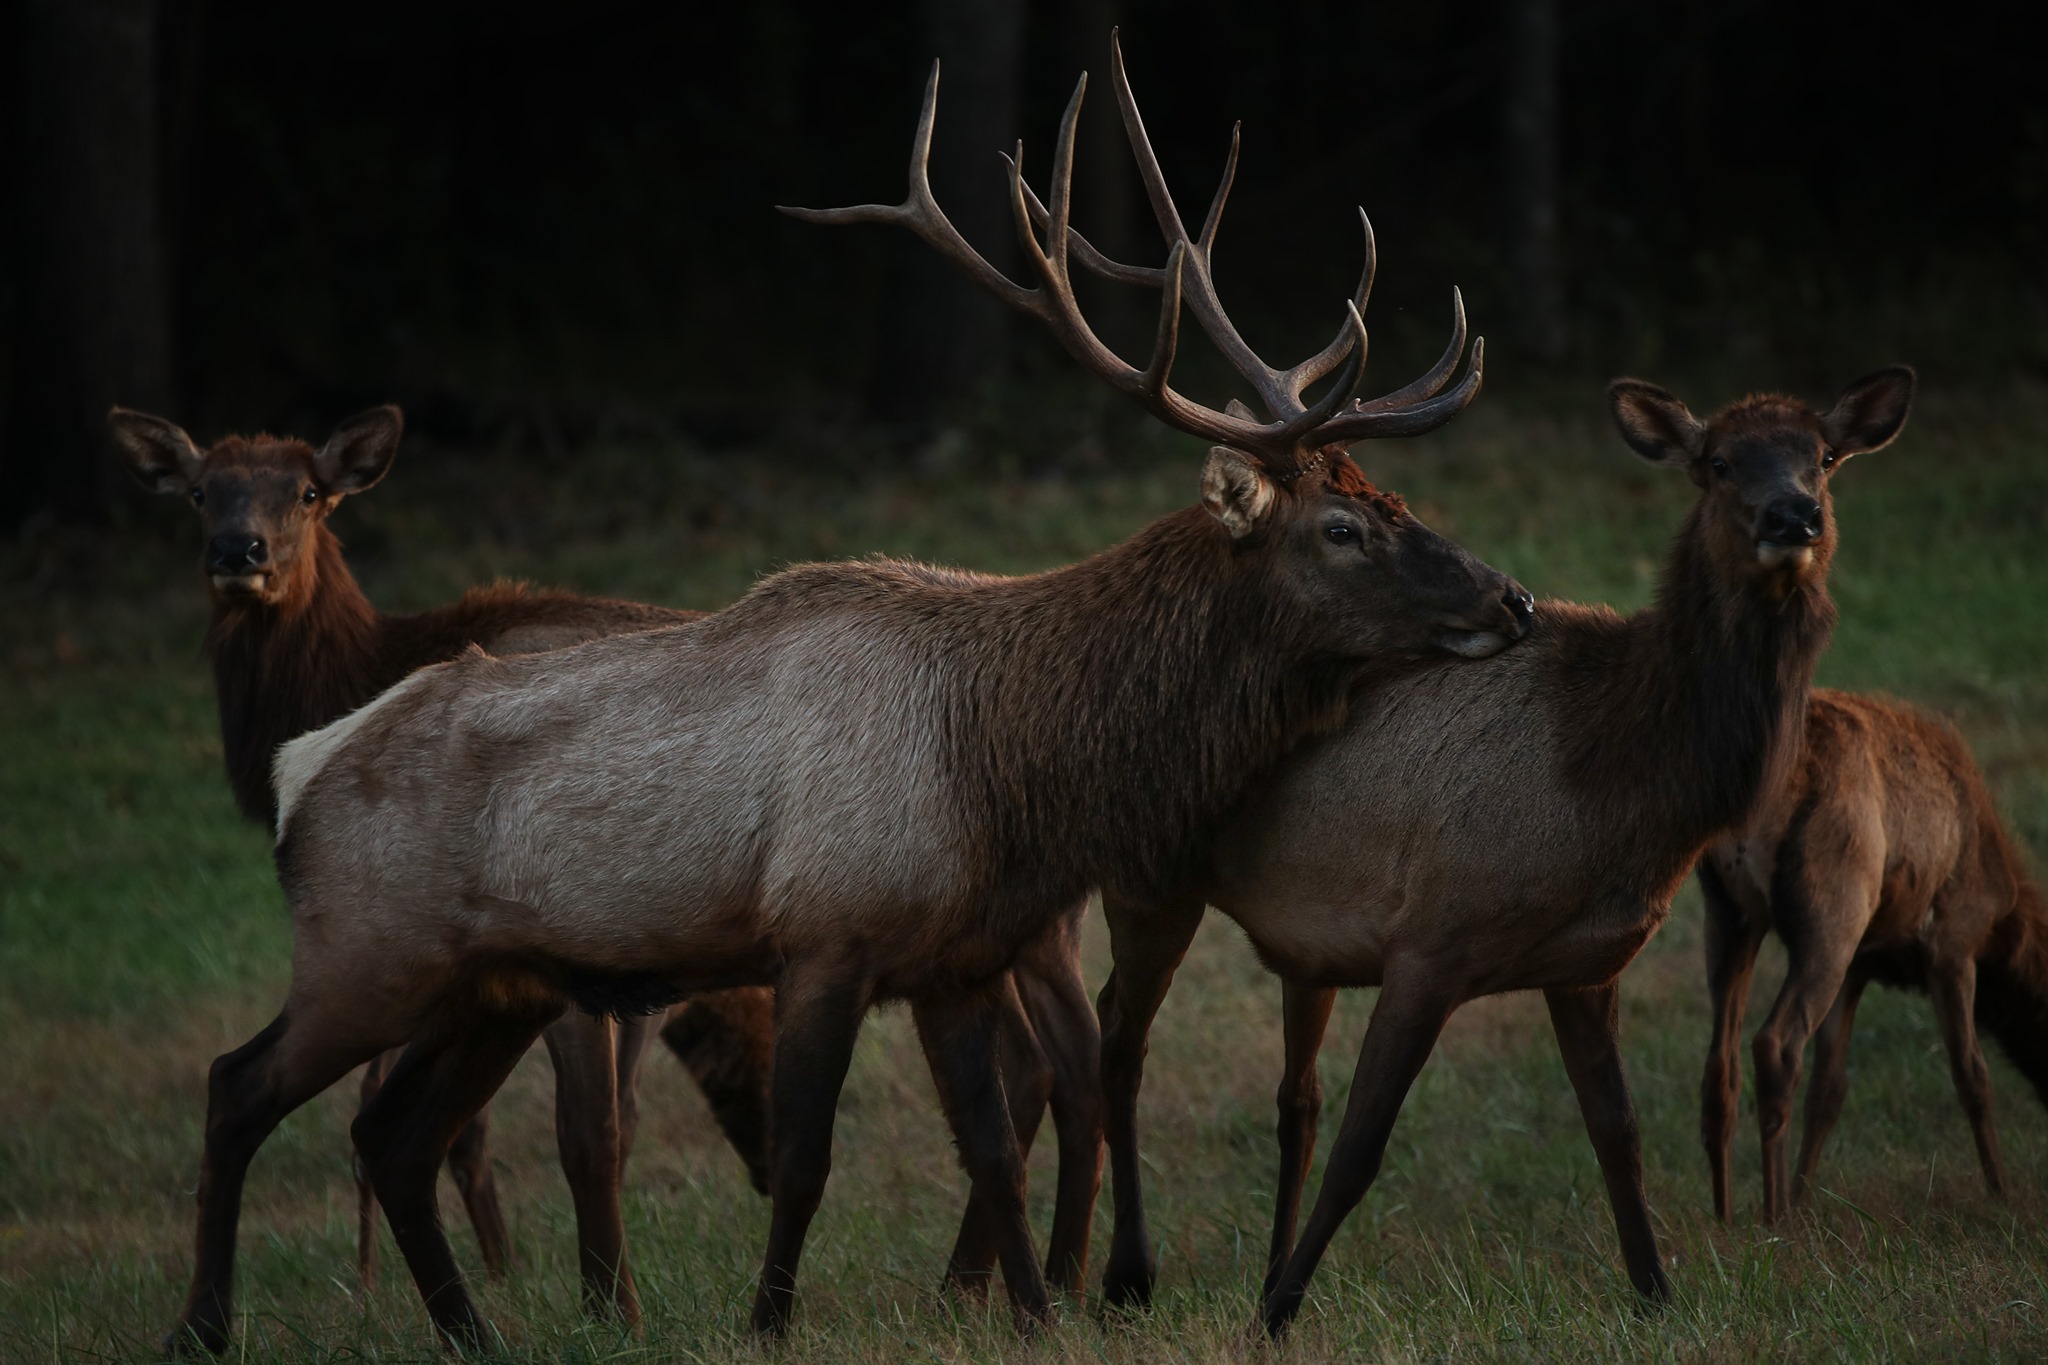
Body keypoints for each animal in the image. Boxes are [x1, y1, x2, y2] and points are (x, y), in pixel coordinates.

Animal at [111, 406, 1110, 1318]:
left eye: (308, 493)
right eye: (200, 491)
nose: (238, 552)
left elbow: (587, 1131)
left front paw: (603, 1303)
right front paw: (568, 1290)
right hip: (1031, 935)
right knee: (1066, 1059)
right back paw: (1027, 1280)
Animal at [1088, 365, 1917, 1336]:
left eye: (1822, 457)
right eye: (1716, 462)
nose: (1794, 517)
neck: (1612, 785)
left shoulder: (1586, 963)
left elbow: (1619, 1135)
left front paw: (1658, 1297)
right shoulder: (1431, 939)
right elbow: (1362, 1150)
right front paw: (1278, 1317)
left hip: (1302, 943)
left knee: (1293, 1097)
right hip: (1149, 880)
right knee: (1119, 1034)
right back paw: (1121, 1278)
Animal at [1699, 688, 2048, 1223]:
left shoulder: (1859, 966)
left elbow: (1829, 1087)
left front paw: (1804, 1193)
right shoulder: (1952, 942)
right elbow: (1973, 1074)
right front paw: (2001, 1191)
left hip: (1730, 913)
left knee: (1721, 1060)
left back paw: (1726, 1217)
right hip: (1833, 906)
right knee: (1774, 1044)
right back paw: (1774, 1218)